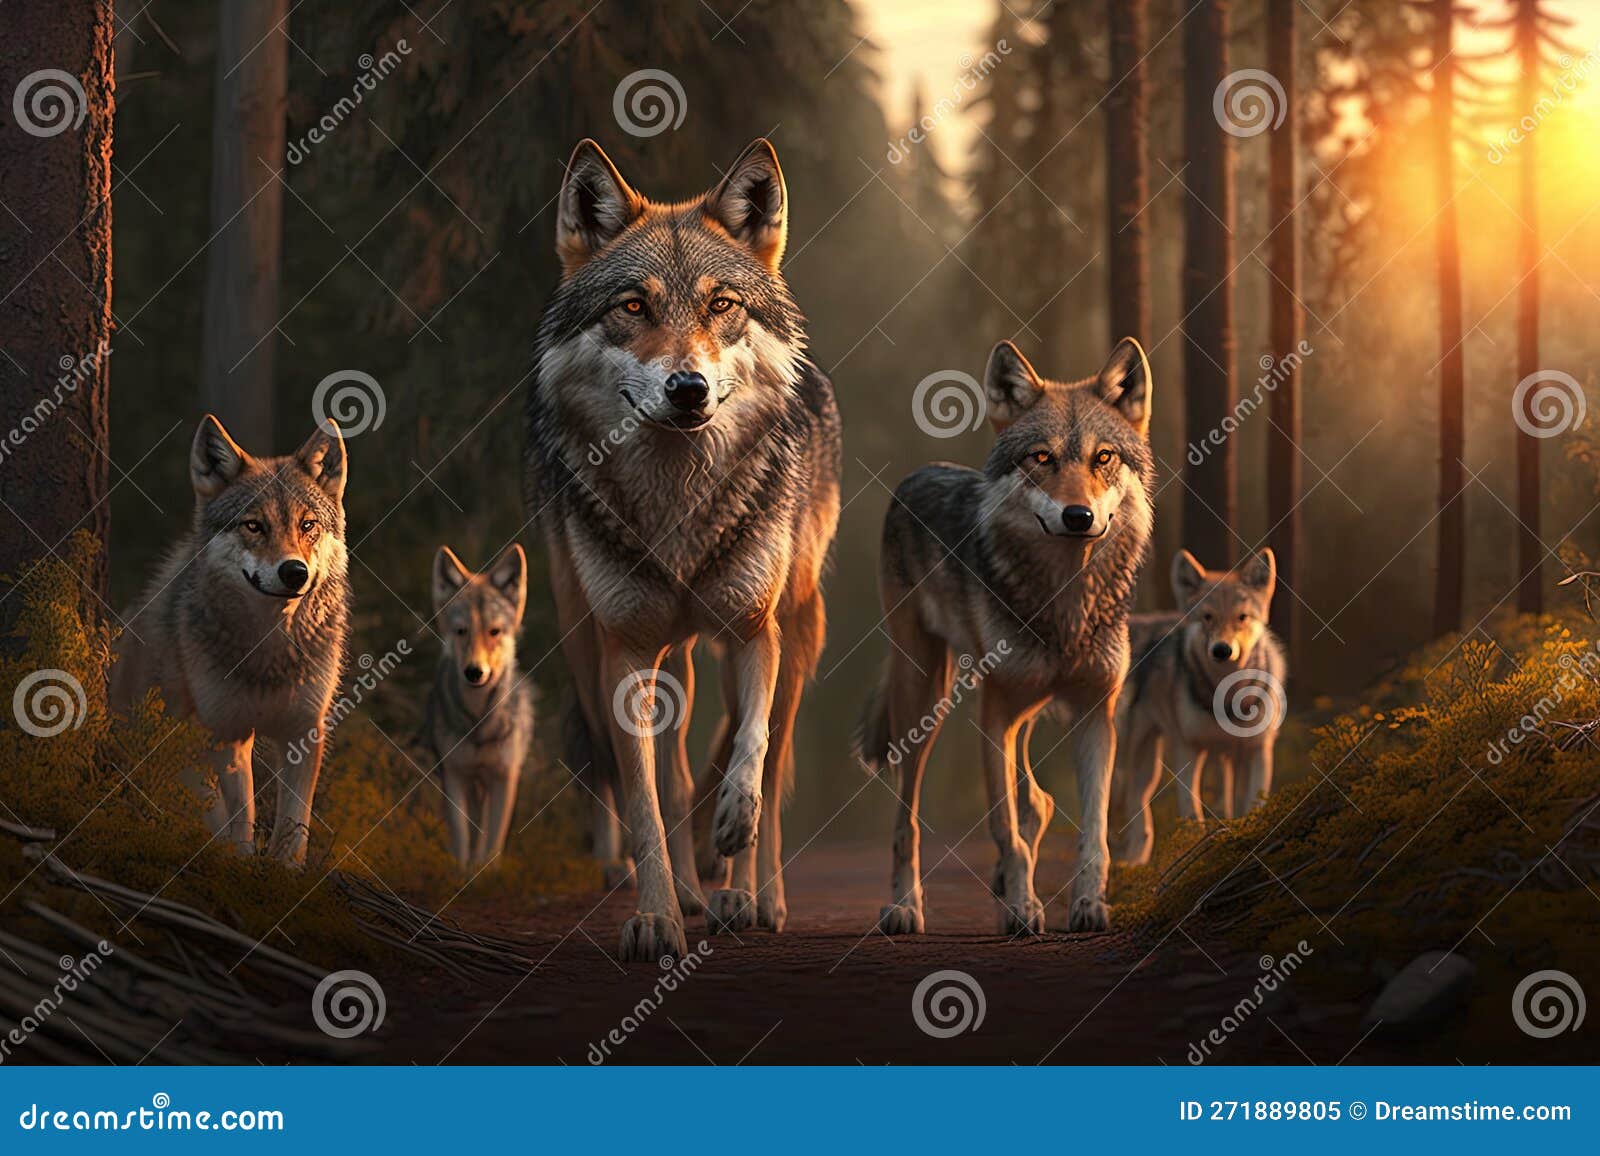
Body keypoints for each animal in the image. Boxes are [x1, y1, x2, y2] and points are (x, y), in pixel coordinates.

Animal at [109, 414, 350, 865]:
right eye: (254, 525)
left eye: (307, 525)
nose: (294, 572)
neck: (270, 652)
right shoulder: (230, 732)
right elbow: (242, 814)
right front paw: (239, 862)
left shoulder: (304, 730)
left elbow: (294, 825)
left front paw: (285, 872)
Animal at [422, 544, 535, 872]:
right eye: (461, 631)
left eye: (494, 631)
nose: (475, 672)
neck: (478, 724)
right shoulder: (454, 775)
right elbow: (461, 835)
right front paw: (461, 873)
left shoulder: (504, 777)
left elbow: (493, 840)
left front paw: (487, 873)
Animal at [523, 138, 841, 962]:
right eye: (633, 306)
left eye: (720, 306)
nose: (688, 387)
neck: (680, 508)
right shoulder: (624, 653)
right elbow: (643, 798)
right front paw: (658, 916)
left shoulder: (753, 633)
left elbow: (750, 751)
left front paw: (730, 833)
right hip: (621, 650)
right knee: (667, 772)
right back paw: (698, 892)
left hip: (793, 630)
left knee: (766, 758)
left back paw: (752, 896)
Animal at [856, 337, 1154, 935]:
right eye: (1041, 458)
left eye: (1104, 458)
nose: (1078, 515)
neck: (1067, 607)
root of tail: (916, 475)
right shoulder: (992, 714)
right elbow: (1005, 830)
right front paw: (1021, 909)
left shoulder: (1095, 714)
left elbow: (1092, 832)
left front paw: (1088, 906)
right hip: (929, 695)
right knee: (908, 816)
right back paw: (904, 907)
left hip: (1018, 707)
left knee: (1036, 801)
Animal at [1110, 549, 1286, 865]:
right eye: (1207, 617)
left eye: (1242, 617)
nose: (1222, 650)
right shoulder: (1188, 750)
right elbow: (1192, 814)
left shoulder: (1258, 750)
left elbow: (1252, 805)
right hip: (1142, 758)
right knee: (1135, 806)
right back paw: (1134, 862)